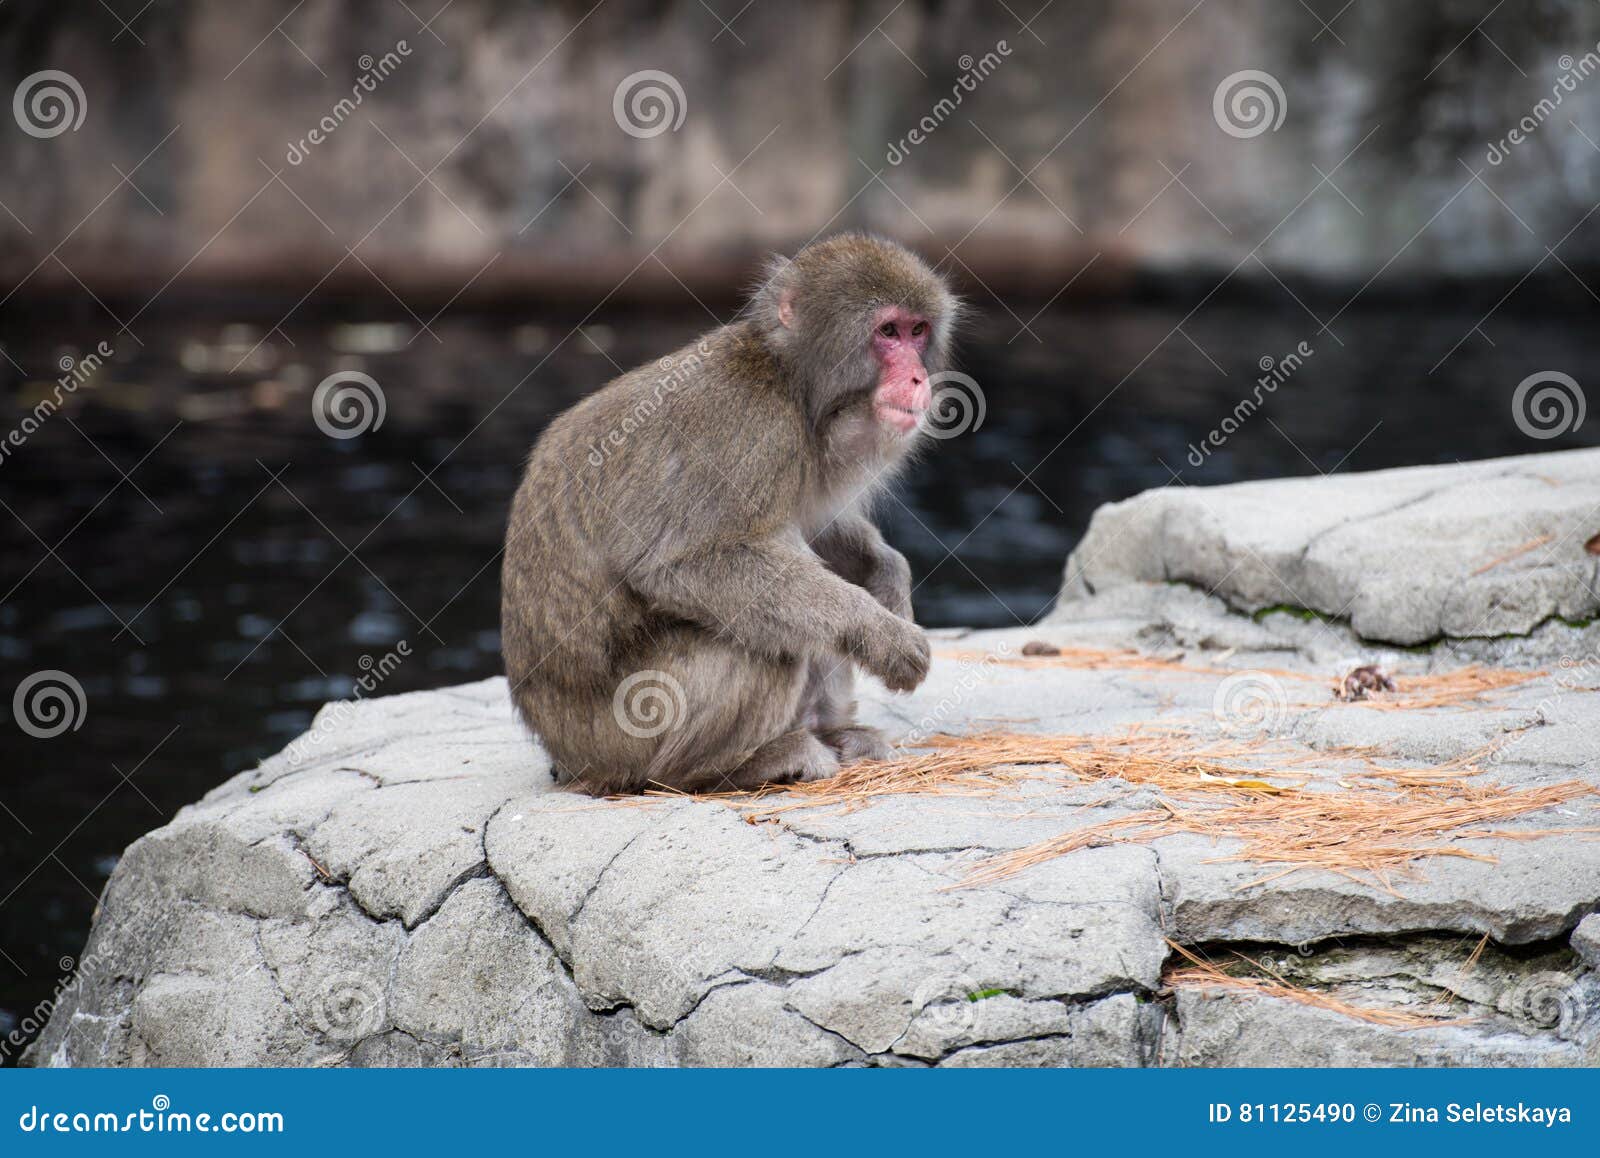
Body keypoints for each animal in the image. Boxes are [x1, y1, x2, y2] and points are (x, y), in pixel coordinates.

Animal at [500, 233, 962, 795]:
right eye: (888, 332)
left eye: (919, 331)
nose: (918, 377)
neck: (793, 386)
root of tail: (561, 753)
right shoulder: (751, 430)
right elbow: (684, 564)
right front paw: (879, 632)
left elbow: (823, 529)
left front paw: (888, 573)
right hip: (623, 731)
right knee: (764, 636)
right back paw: (726, 768)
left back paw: (834, 733)